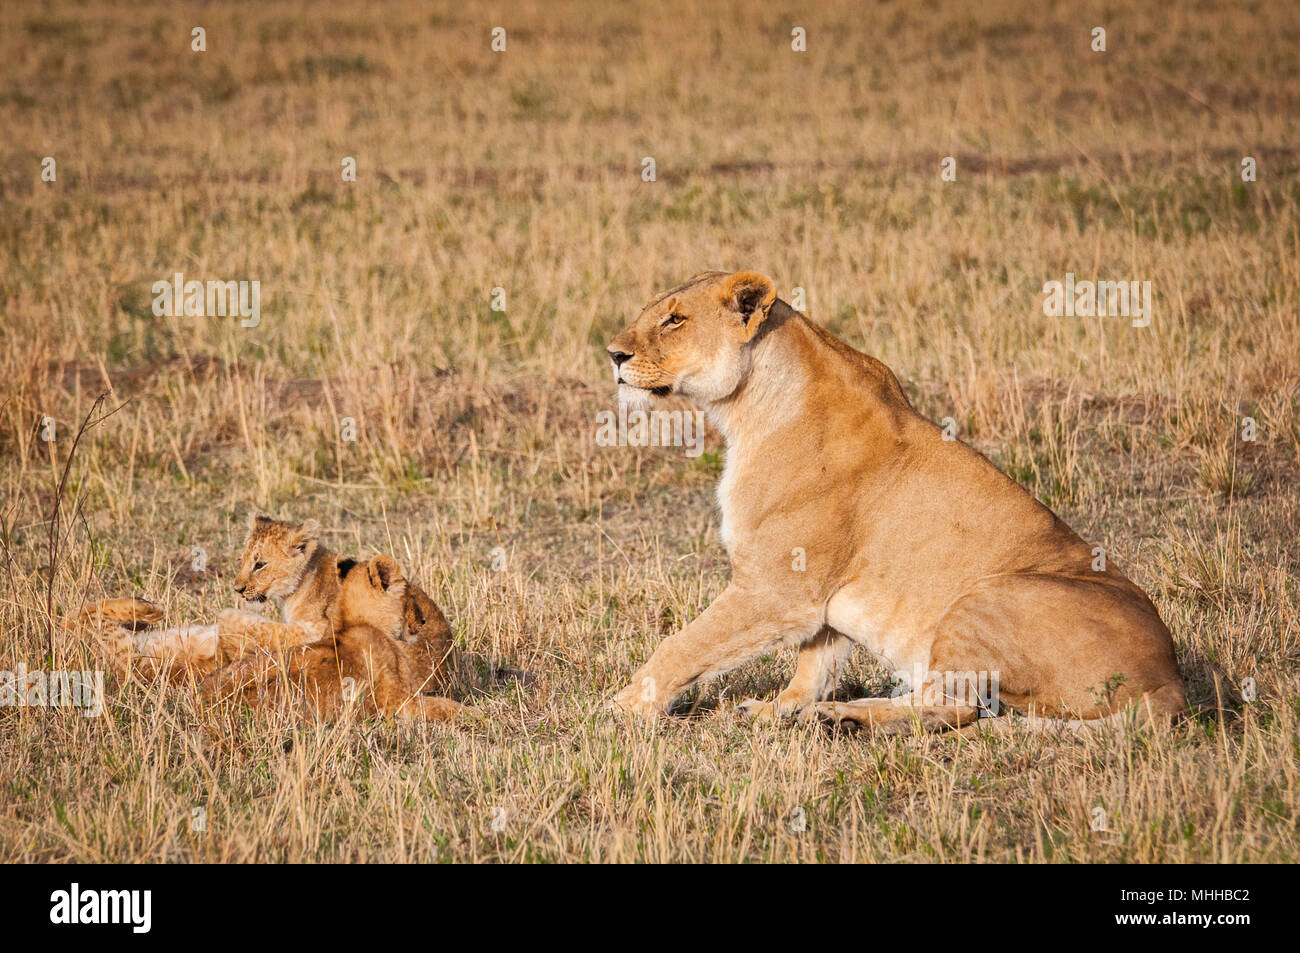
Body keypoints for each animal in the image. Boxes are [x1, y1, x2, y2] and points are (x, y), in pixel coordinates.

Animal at [606, 270, 1186, 730]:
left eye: (675, 320)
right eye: (649, 312)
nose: (613, 354)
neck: (745, 410)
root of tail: (1172, 682)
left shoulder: (776, 589)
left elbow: (685, 644)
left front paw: (624, 706)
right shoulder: (818, 593)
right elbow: (815, 663)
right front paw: (778, 708)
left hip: (982, 597)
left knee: (953, 707)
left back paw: (844, 717)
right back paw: (831, 713)